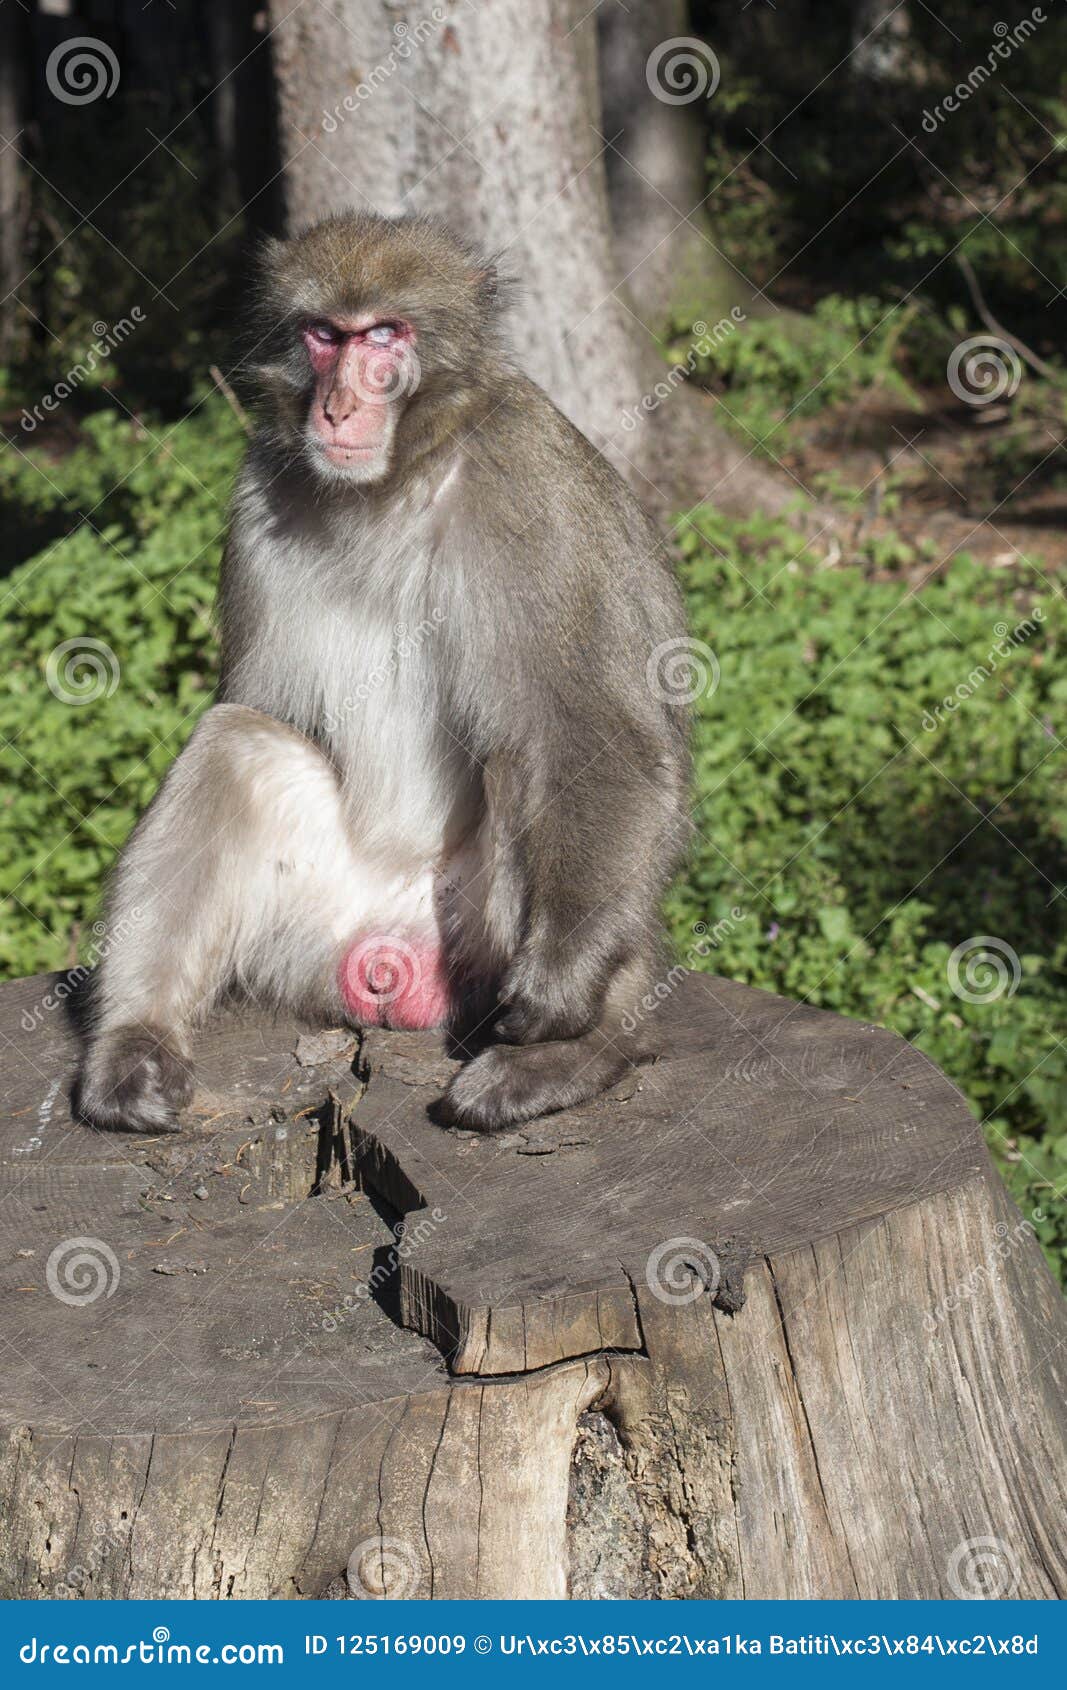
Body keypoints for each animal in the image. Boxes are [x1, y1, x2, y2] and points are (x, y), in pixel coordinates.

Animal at [76, 213, 691, 1137]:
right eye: (324, 335)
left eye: (384, 336)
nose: (337, 403)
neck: (393, 482)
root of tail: (392, 953)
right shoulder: (257, 492)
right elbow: (255, 706)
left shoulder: (526, 484)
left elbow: (592, 735)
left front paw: (561, 995)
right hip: (309, 933)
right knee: (235, 742)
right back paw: (136, 1046)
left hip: (474, 943)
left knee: (521, 759)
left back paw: (575, 1056)